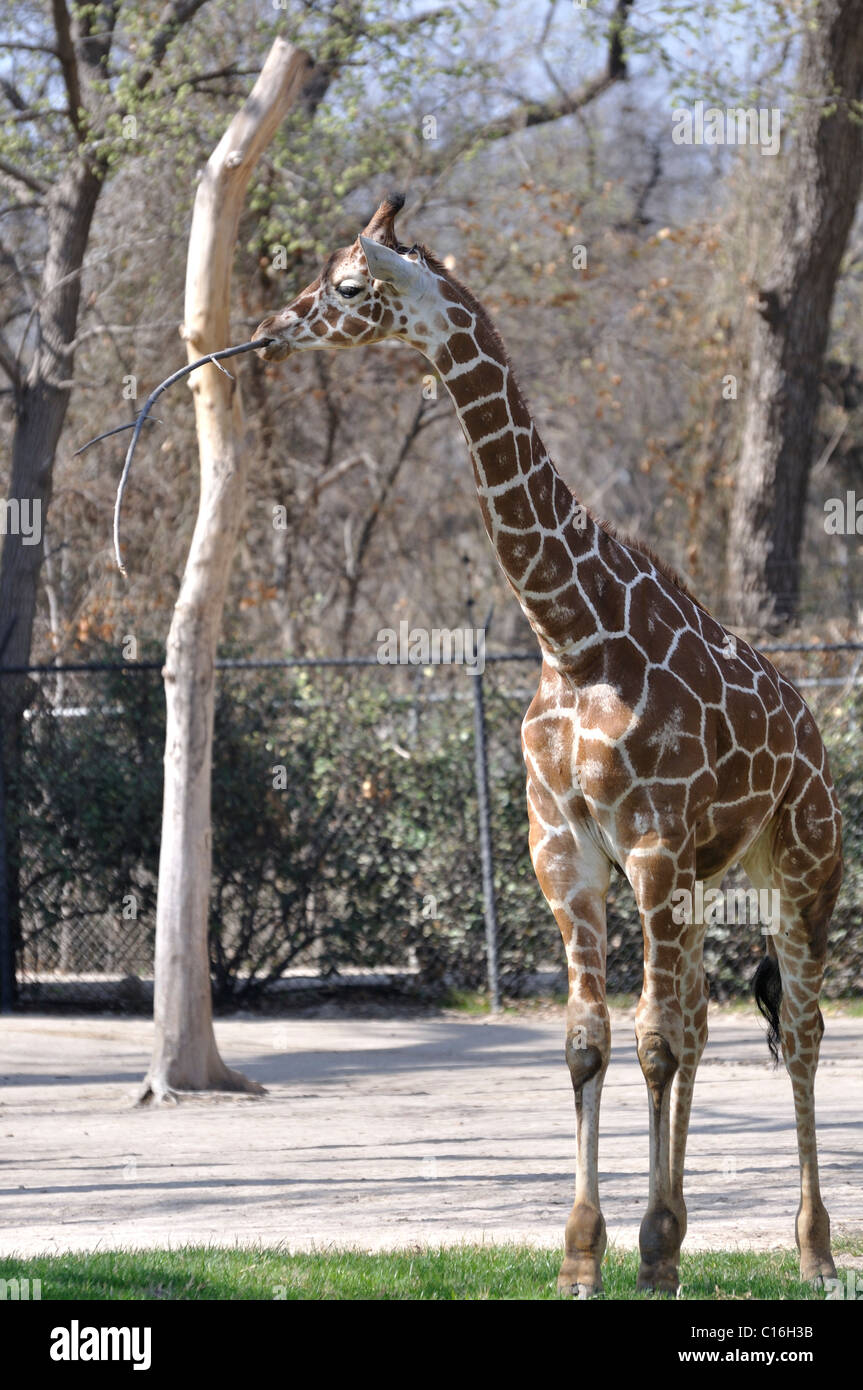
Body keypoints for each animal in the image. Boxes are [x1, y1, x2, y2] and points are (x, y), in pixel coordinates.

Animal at [253, 194, 843, 1296]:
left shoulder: (648, 845)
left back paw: (814, 1249)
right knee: (703, 1021)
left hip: (802, 862)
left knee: (796, 1028)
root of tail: (809, 724)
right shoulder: (563, 850)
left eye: (348, 285)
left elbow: (648, 1042)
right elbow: (589, 1041)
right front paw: (589, 1254)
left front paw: (648, 1249)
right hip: (706, 878)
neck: (571, 632)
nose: (273, 325)